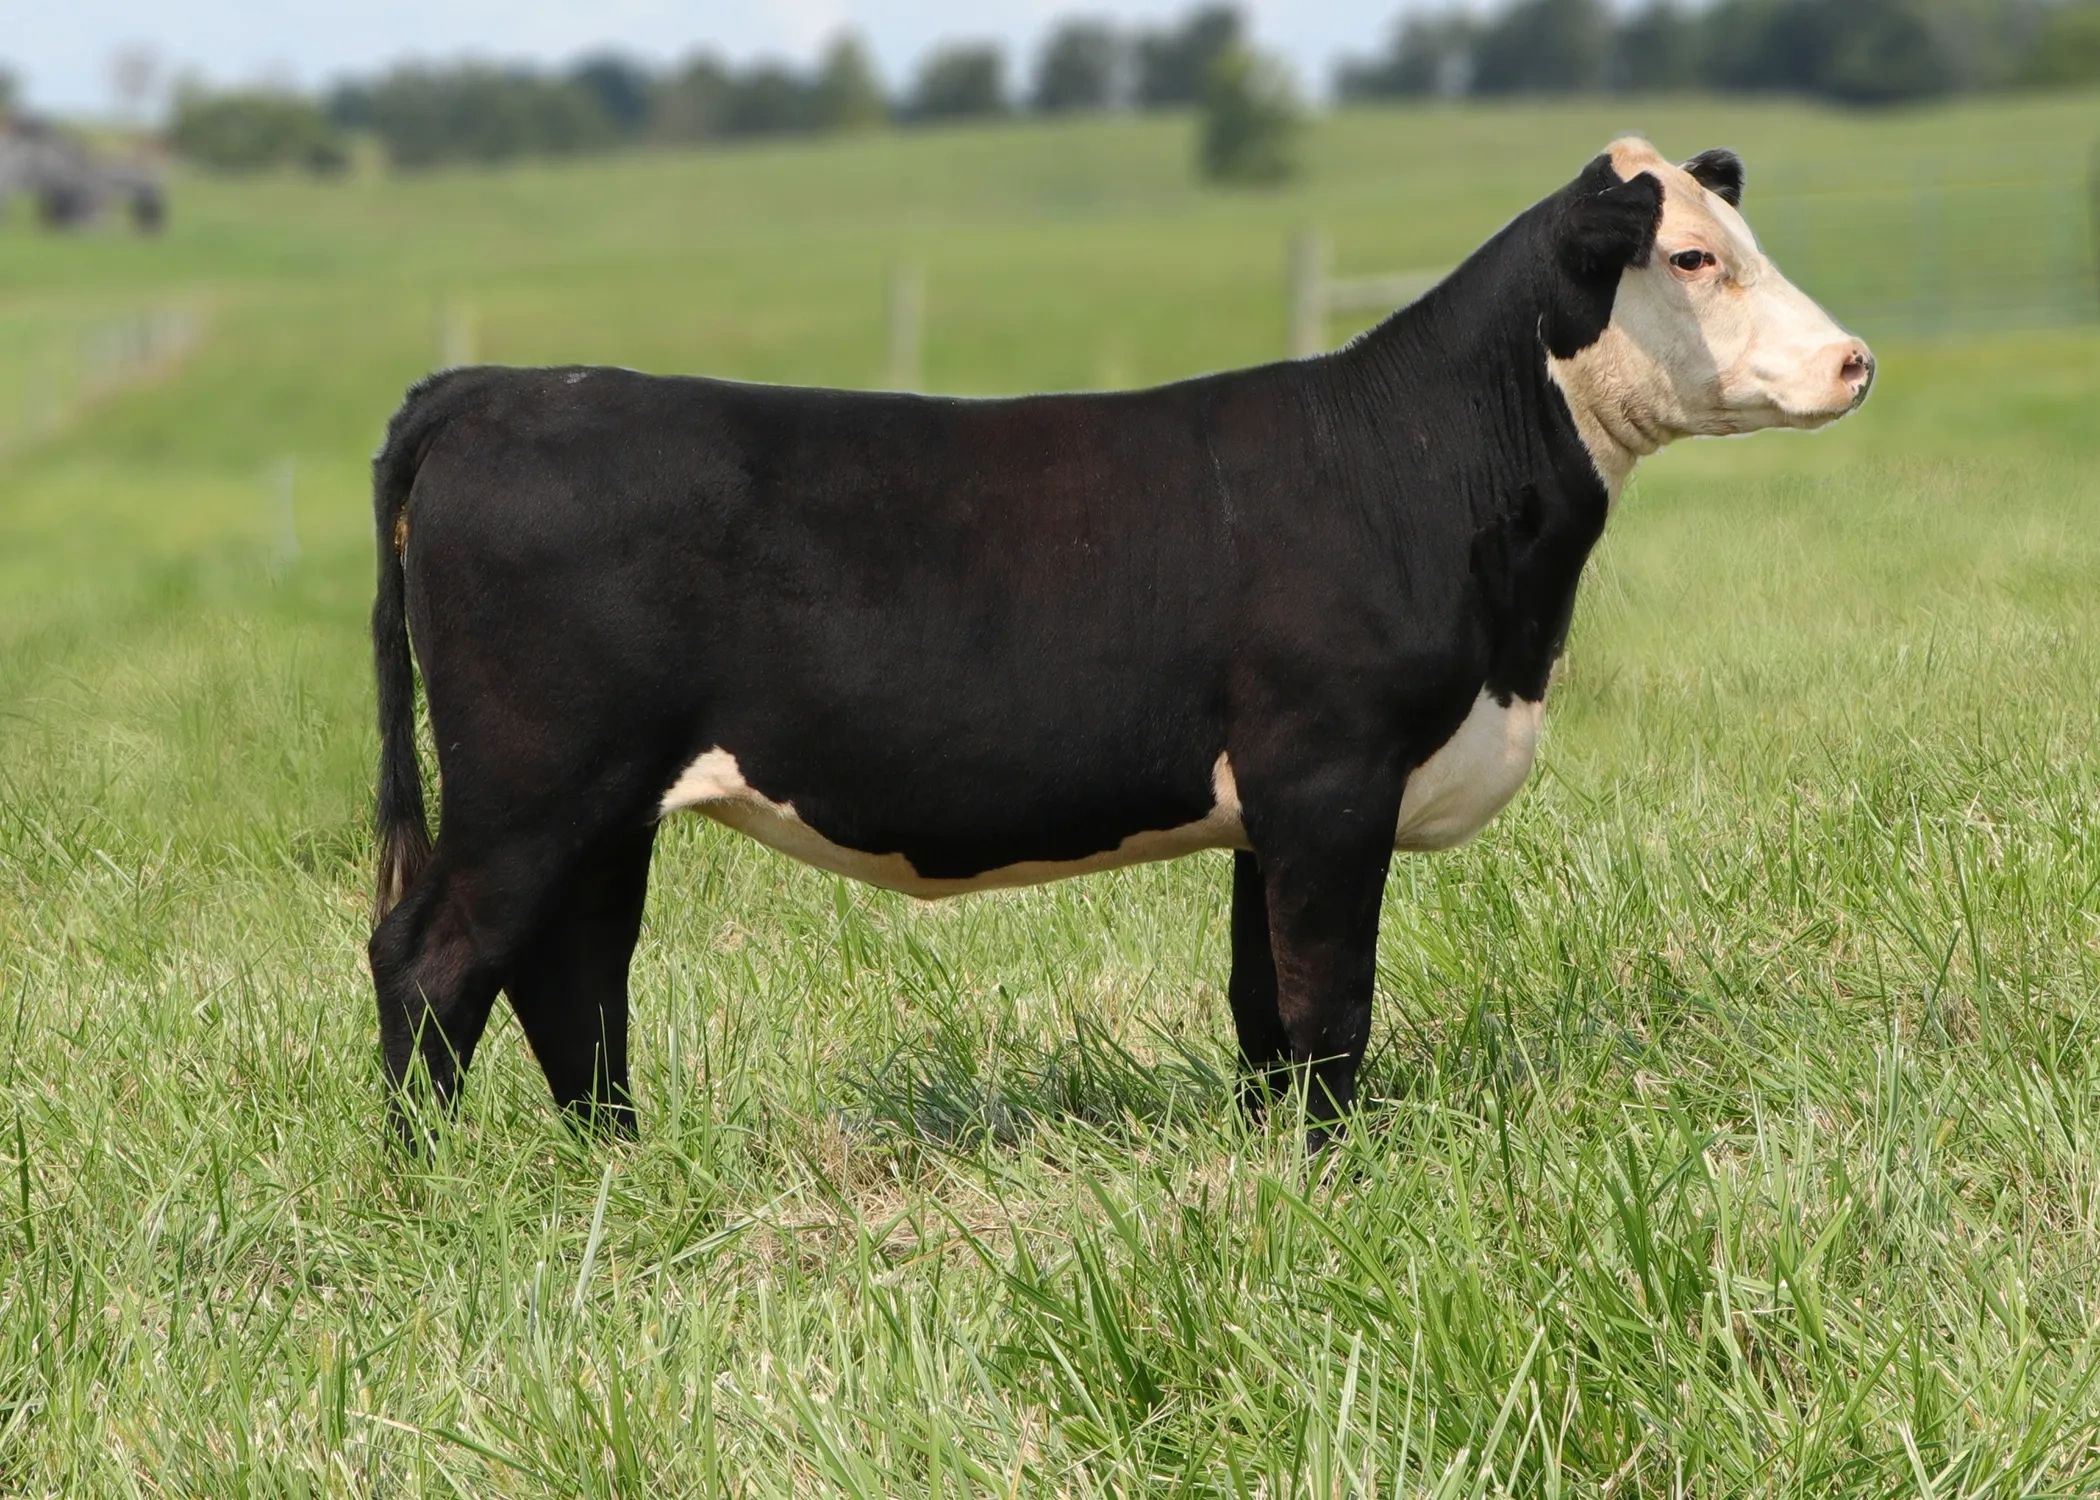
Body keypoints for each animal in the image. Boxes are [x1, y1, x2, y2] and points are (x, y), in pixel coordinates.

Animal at [366, 139, 1873, 1147]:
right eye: (1691, 257)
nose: (1854, 360)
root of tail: (496, 388)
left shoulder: (1277, 802)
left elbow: (1265, 1008)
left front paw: (1279, 1162)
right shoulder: (1331, 774)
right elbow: (1330, 1004)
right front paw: (1338, 1172)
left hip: (605, 805)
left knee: (571, 978)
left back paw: (619, 1168)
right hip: (532, 784)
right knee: (432, 961)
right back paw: (426, 1183)